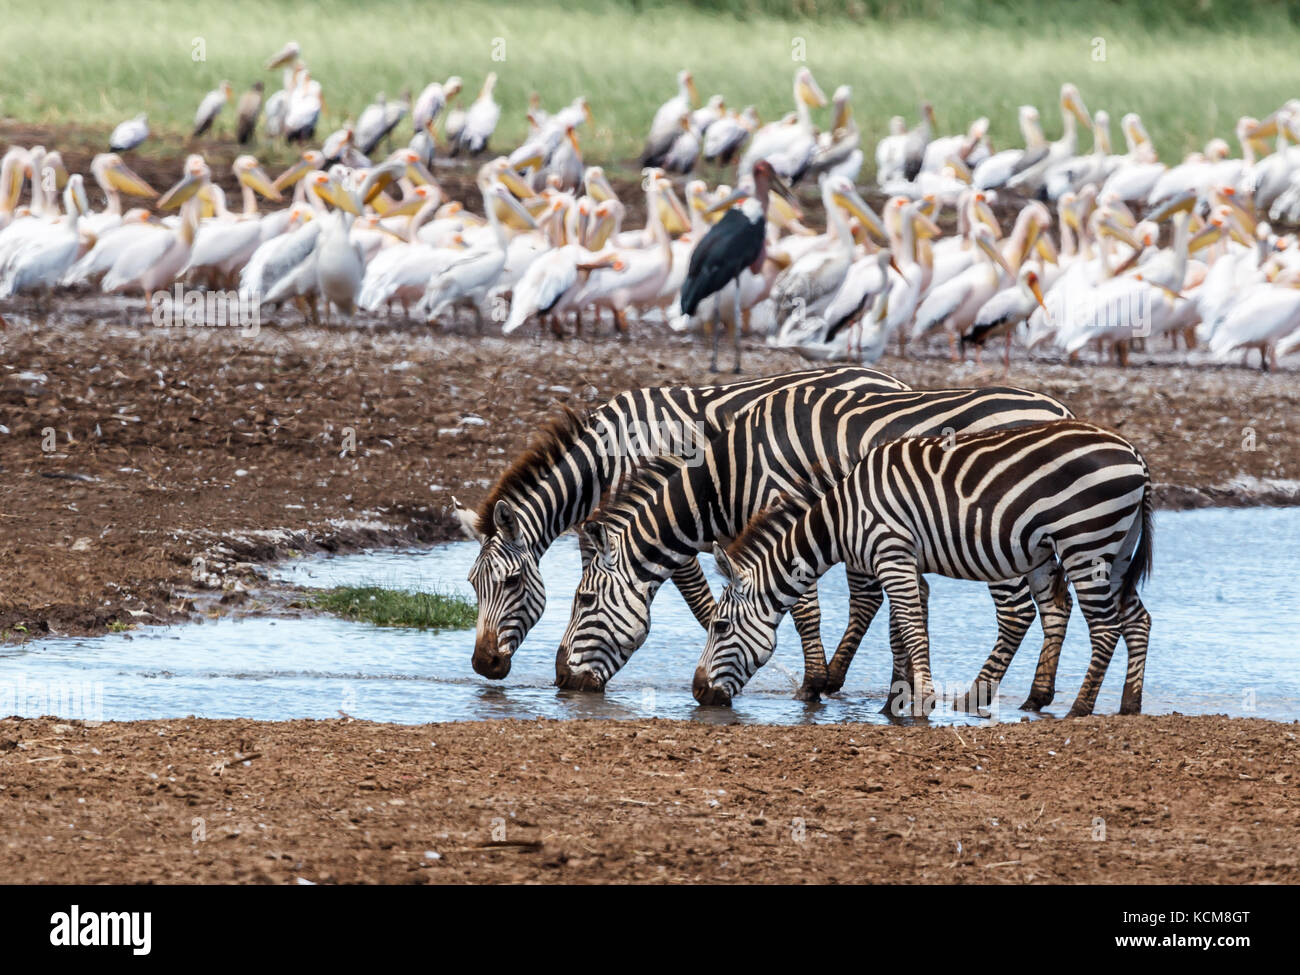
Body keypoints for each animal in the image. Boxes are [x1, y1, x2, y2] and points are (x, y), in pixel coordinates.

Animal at [454, 365, 909, 681]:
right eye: (473, 584)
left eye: (511, 582)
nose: (483, 664)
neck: (605, 460)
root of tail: (892, 380)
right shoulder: (602, 531)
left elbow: (701, 604)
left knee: (867, 598)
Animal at [558, 385, 1076, 704]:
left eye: (584, 600)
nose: (561, 679)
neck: (729, 476)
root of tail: (1060, 411)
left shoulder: (788, 514)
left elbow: (804, 609)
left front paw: (812, 684)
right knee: (1055, 604)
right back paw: (1038, 696)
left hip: (998, 536)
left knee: (1018, 611)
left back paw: (979, 696)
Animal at [696, 419, 1154, 718]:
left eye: (720, 626)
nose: (698, 692)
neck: (843, 515)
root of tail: (1135, 454)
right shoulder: (904, 561)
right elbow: (900, 631)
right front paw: (894, 703)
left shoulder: (892, 554)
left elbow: (911, 627)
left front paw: (925, 702)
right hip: (1114, 550)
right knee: (1137, 619)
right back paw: (1129, 704)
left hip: (1086, 544)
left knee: (1105, 628)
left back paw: (1080, 708)